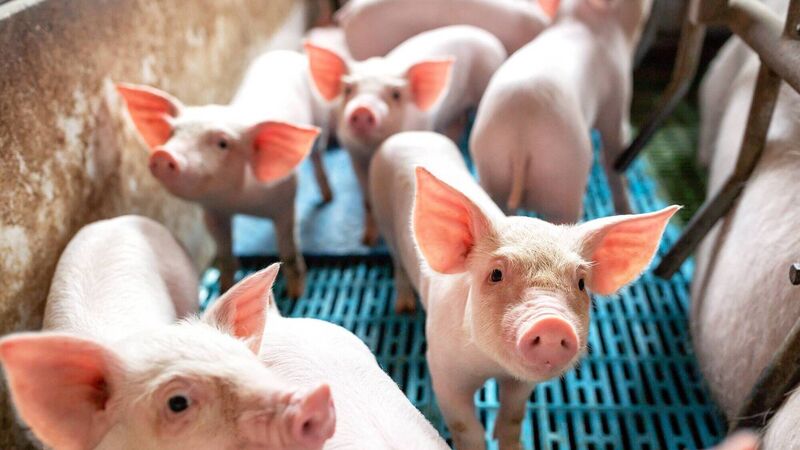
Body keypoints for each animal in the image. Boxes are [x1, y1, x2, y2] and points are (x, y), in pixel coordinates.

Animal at [117, 50, 322, 297]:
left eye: (223, 144)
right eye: (173, 132)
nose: (163, 154)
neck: (238, 203)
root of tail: (286, 53)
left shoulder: (286, 200)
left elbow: (288, 247)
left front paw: (296, 294)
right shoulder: (213, 212)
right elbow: (224, 252)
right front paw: (223, 289)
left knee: (318, 156)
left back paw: (327, 197)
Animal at [305, 25, 506, 244]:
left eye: (395, 94)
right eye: (348, 89)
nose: (363, 109)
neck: (371, 149)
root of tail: (485, 35)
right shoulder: (354, 155)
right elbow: (367, 200)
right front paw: (366, 240)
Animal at [370, 131, 678, 449]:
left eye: (581, 283)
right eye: (496, 274)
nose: (552, 323)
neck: (491, 366)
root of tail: (411, 134)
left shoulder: (522, 382)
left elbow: (512, 418)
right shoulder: (444, 371)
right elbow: (467, 428)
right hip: (384, 220)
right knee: (397, 262)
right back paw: (404, 306)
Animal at [470, 0, 654, 223]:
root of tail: (520, 141)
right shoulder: (617, 94)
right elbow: (614, 150)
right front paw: (629, 210)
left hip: (493, 168)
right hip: (562, 178)